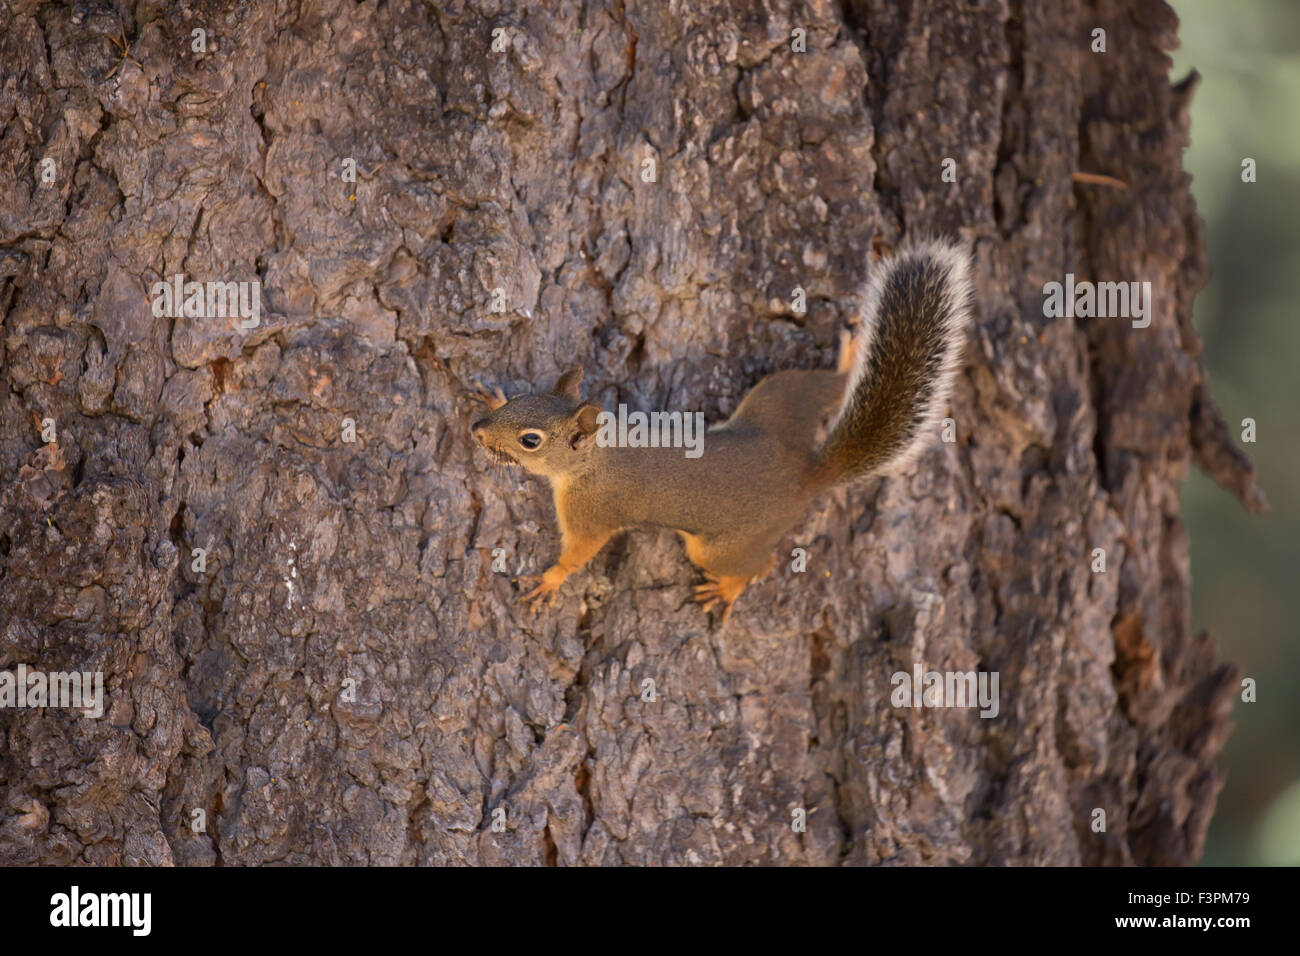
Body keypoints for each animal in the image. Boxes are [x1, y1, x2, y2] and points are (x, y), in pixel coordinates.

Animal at [470, 239, 973, 622]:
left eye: (530, 441)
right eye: (519, 399)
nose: (477, 432)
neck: (592, 458)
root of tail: (805, 474)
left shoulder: (591, 512)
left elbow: (579, 552)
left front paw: (549, 581)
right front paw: (487, 398)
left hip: (722, 546)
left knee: (760, 562)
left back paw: (728, 590)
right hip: (778, 400)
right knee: (830, 386)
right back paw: (849, 359)